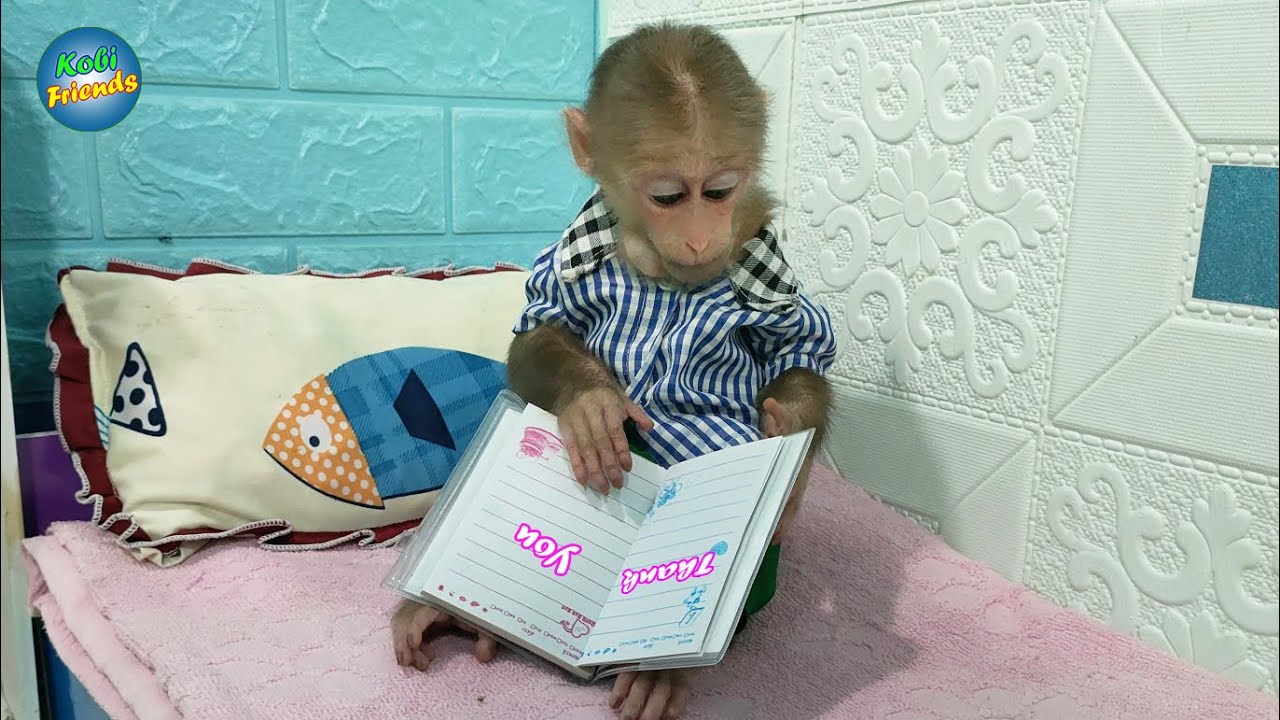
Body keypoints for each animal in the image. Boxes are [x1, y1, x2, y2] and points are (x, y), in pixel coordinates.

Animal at [391, 21, 836, 720]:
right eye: (668, 197)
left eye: (719, 190)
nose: (702, 236)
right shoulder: (567, 259)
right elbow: (542, 329)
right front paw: (593, 406)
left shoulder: (773, 275)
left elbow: (800, 349)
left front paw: (787, 428)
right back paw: (450, 616)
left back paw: (660, 671)